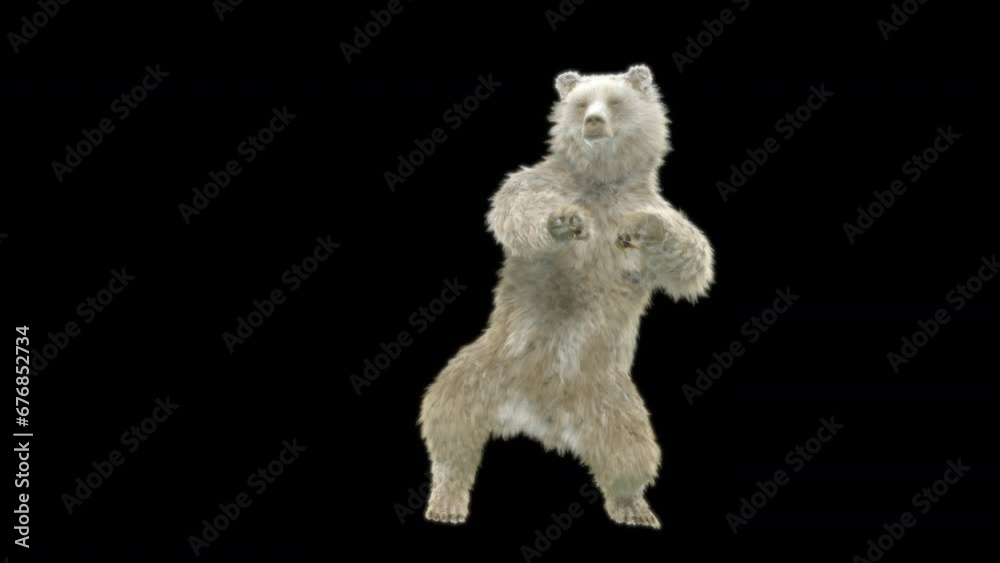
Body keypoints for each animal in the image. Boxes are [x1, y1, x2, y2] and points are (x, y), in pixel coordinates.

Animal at [418, 64, 714, 529]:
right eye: (580, 103)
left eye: (615, 101)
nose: (593, 121)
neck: (601, 181)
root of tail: (538, 417)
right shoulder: (540, 182)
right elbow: (517, 207)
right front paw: (562, 222)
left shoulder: (649, 204)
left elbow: (691, 258)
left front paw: (648, 230)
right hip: (486, 367)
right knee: (450, 419)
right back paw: (447, 497)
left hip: (613, 399)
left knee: (631, 450)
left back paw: (634, 507)